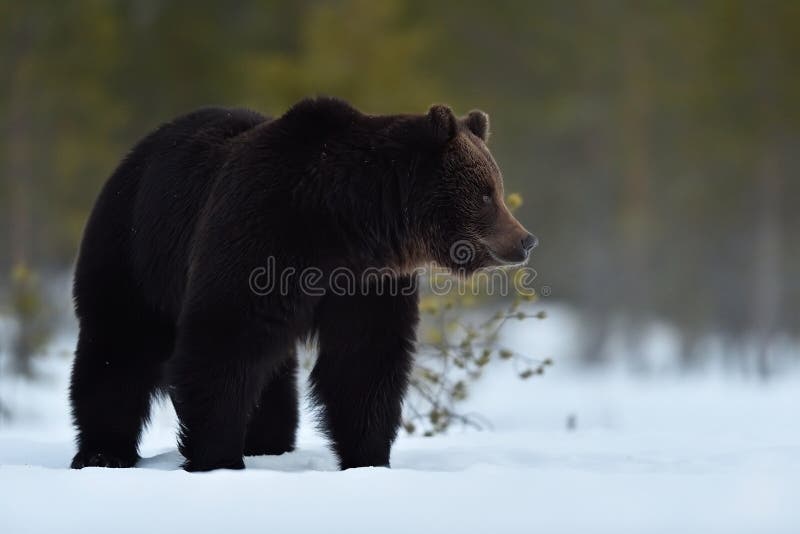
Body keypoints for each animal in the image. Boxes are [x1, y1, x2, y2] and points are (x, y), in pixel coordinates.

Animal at [69, 97, 535, 472]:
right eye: (485, 194)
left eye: (495, 187)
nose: (525, 240)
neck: (343, 223)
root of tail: (138, 150)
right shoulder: (260, 234)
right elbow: (223, 340)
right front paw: (216, 458)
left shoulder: (366, 282)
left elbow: (364, 362)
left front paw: (368, 459)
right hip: (134, 248)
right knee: (119, 348)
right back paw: (103, 451)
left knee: (275, 372)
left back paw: (268, 442)